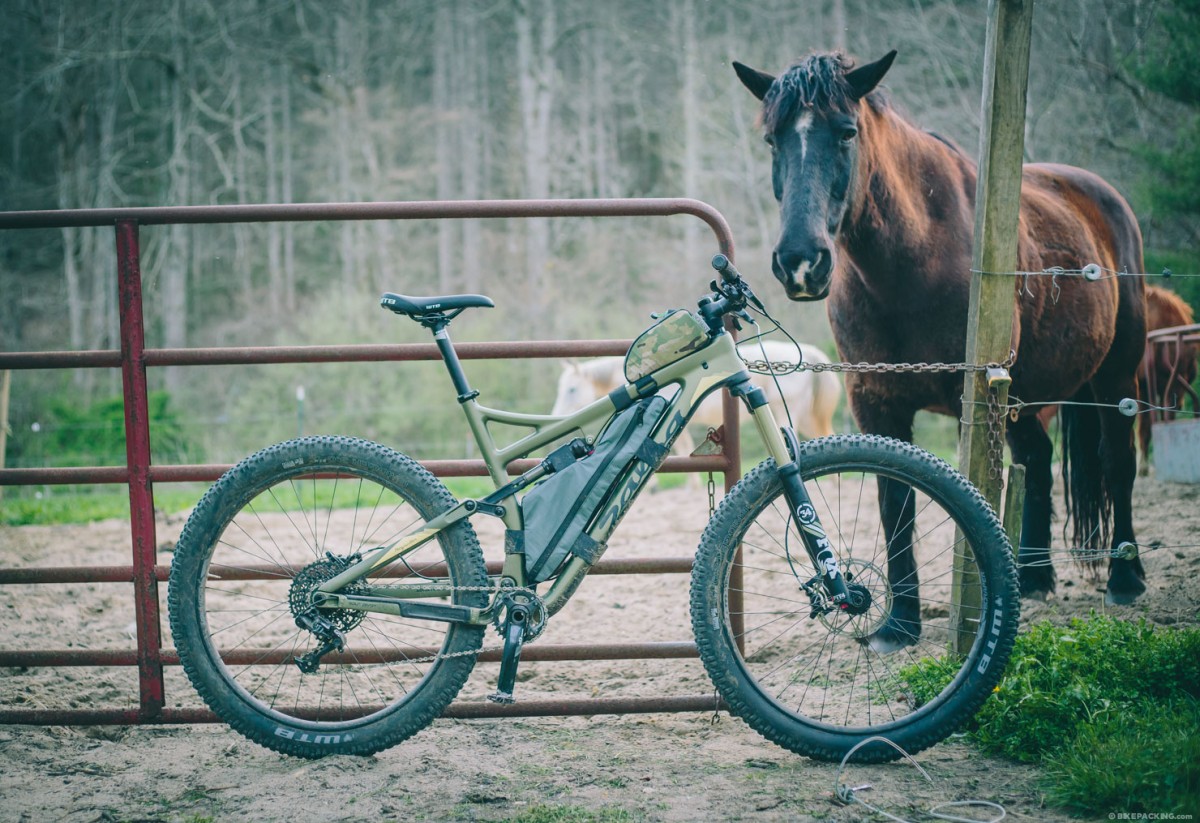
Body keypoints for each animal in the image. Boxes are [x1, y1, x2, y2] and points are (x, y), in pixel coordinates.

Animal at [733, 50, 1147, 651]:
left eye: (847, 132)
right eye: (772, 139)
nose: (801, 262)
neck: (912, 263)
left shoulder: (969, 399)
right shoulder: (875, 400)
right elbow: (894, 503)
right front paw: (899, 623)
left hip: (1116, 378)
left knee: (1117, 461)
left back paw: (1125, 578)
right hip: (1023, 397)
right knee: (1038, 461)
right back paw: (1035, 577)